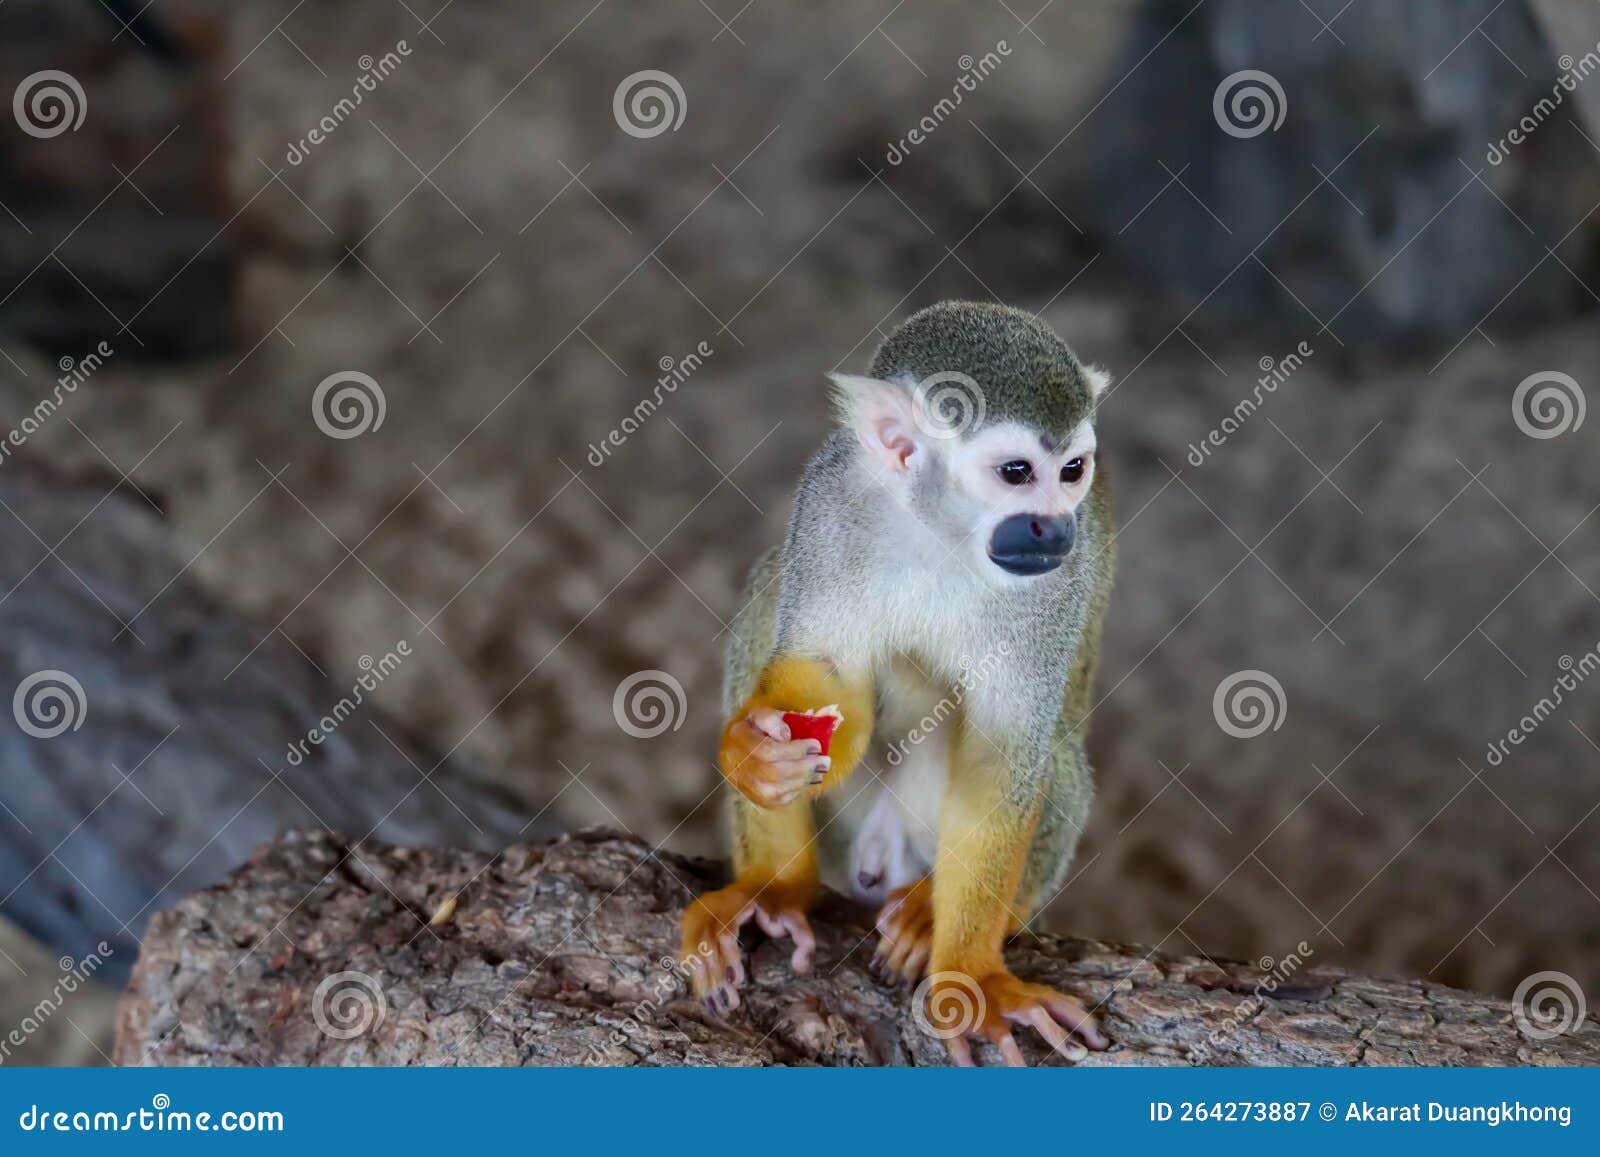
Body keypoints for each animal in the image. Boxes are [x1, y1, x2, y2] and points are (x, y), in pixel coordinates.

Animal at [679, 300, 1115, 1067]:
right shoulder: (831, 500)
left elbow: (1005, 755)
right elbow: (826, 684)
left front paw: (974, 975)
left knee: (1052, 751)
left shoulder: (1055, 586)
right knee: (769, 587)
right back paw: (773, 889)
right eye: (1015, 471)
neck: (944, 530)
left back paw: (929, 911)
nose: (1053, 527)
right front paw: (756, 756)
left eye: (1072, 470)